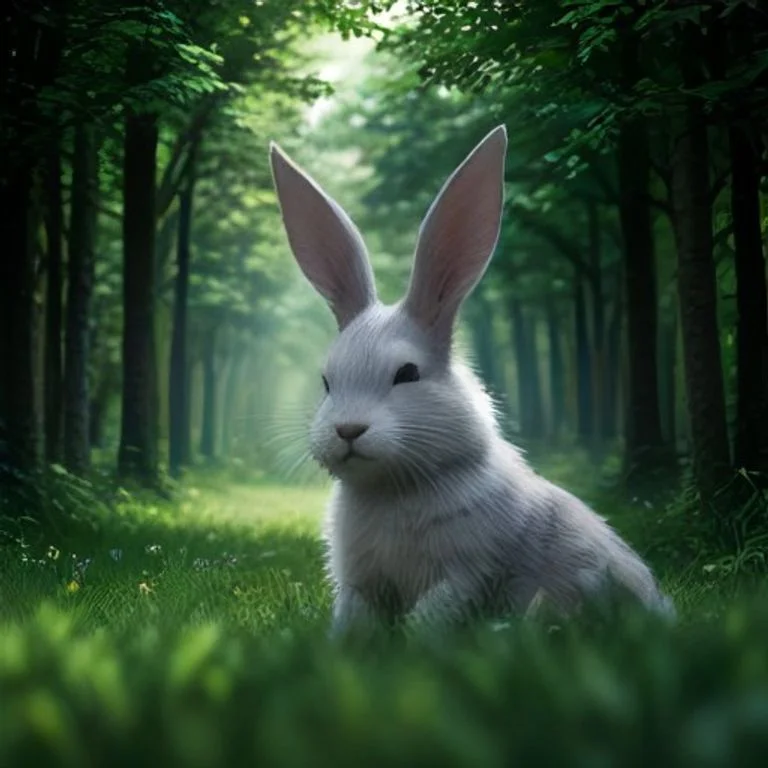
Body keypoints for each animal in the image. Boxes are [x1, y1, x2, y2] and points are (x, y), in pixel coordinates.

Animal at [268, 125, 675, 637]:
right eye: (326, 380)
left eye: (407, 374)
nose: (347, 430)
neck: (395, 489)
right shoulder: (360, 583)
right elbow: (354, 619)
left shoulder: (465, 573)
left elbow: (432, 616)